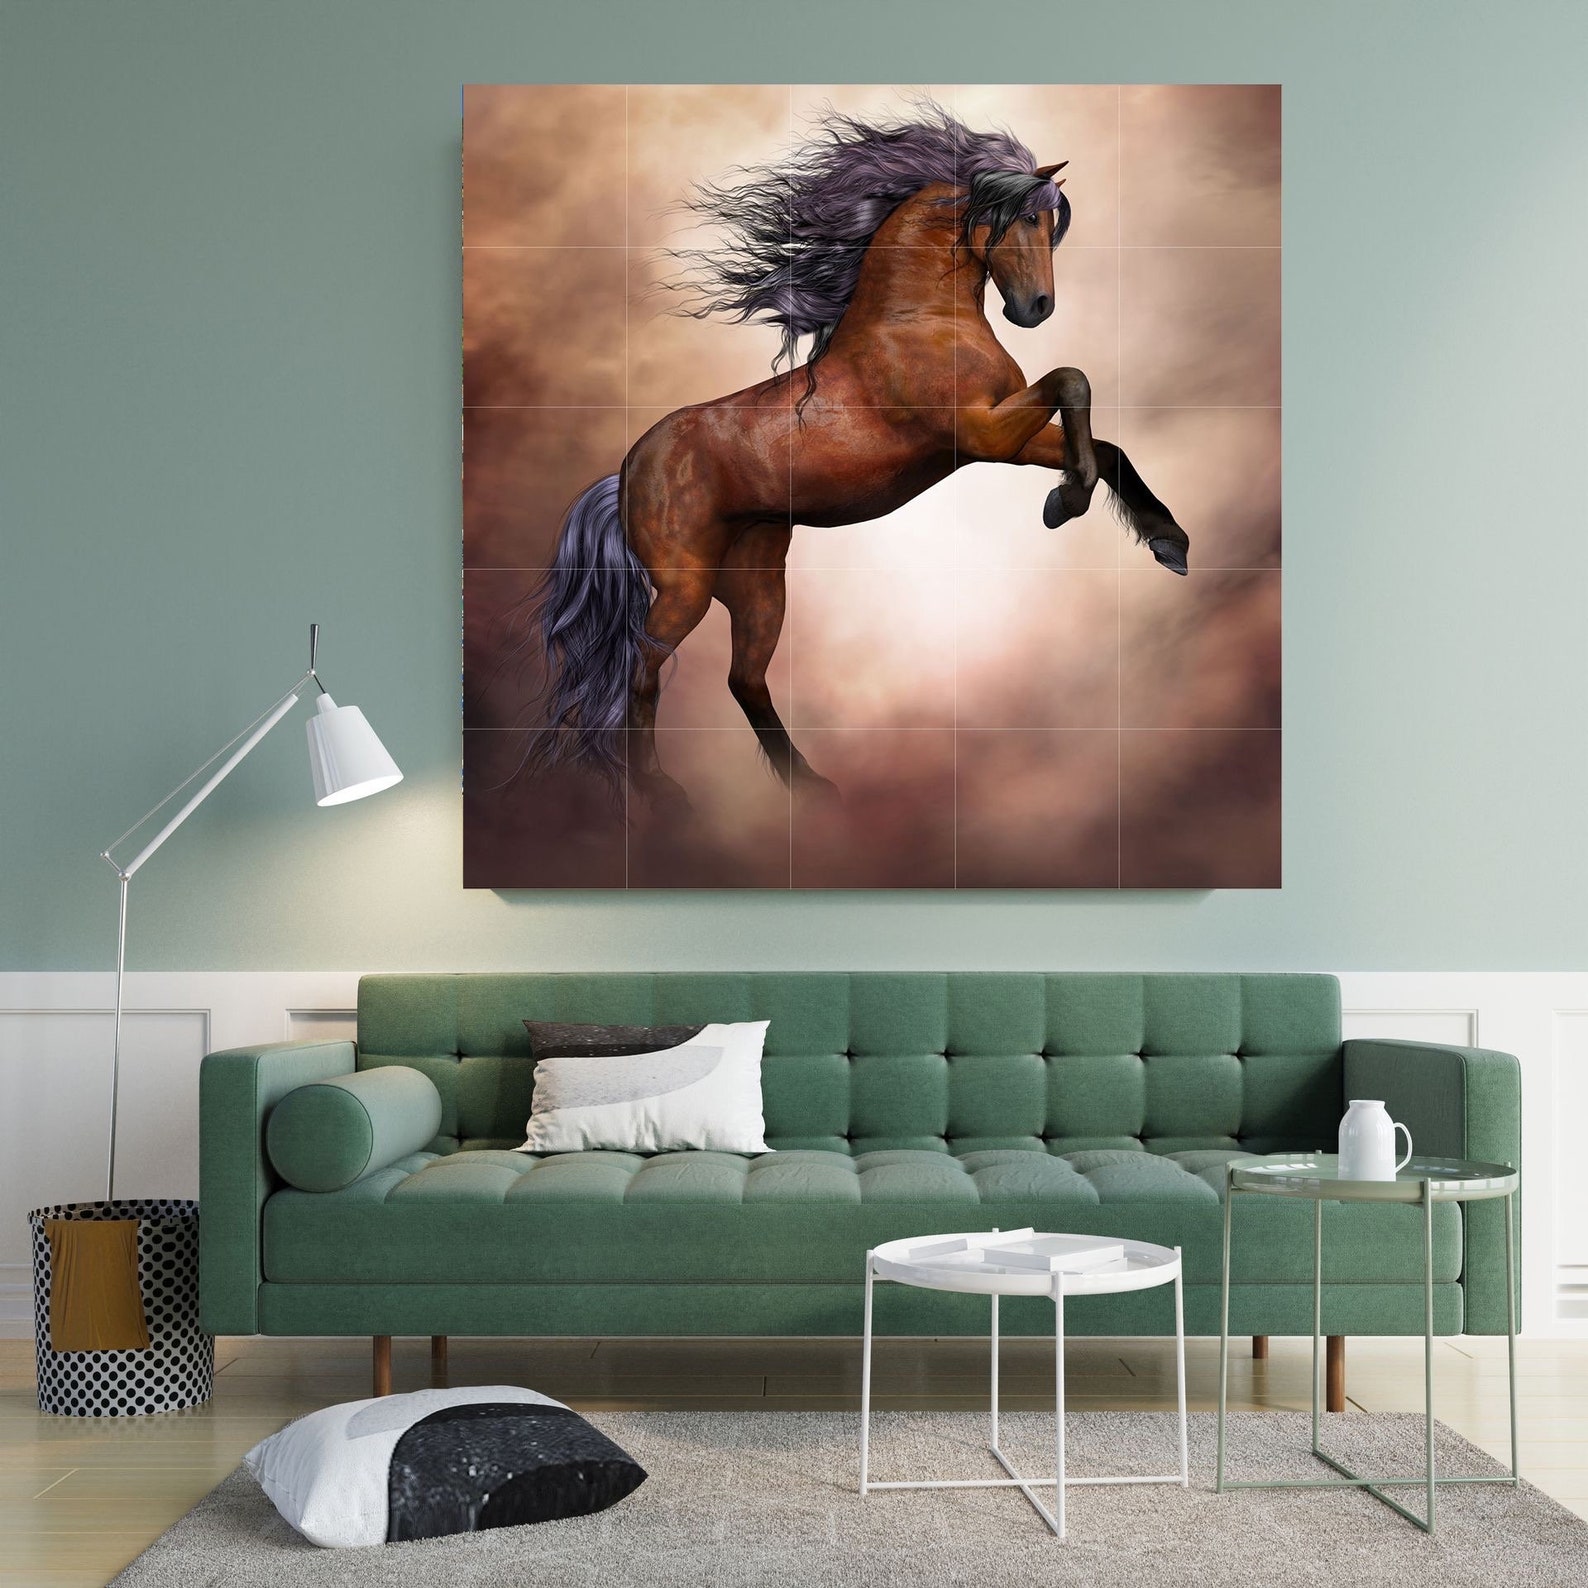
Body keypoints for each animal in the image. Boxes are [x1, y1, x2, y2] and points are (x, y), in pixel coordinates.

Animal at [526, 103, 1191, 809]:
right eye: (1021, 217)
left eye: (1048, 222)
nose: (1036, 308)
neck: (918, 320)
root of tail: (626, 471)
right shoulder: (980, 434)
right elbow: (1074, 381)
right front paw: (1066, 501)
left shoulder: (1000, 438)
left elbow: (1103, 443)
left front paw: (1162, 540)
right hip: (686, 586)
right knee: (645, 664)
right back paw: (658, 789)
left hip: (756, 581)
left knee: (744, 679)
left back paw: (810, 787)